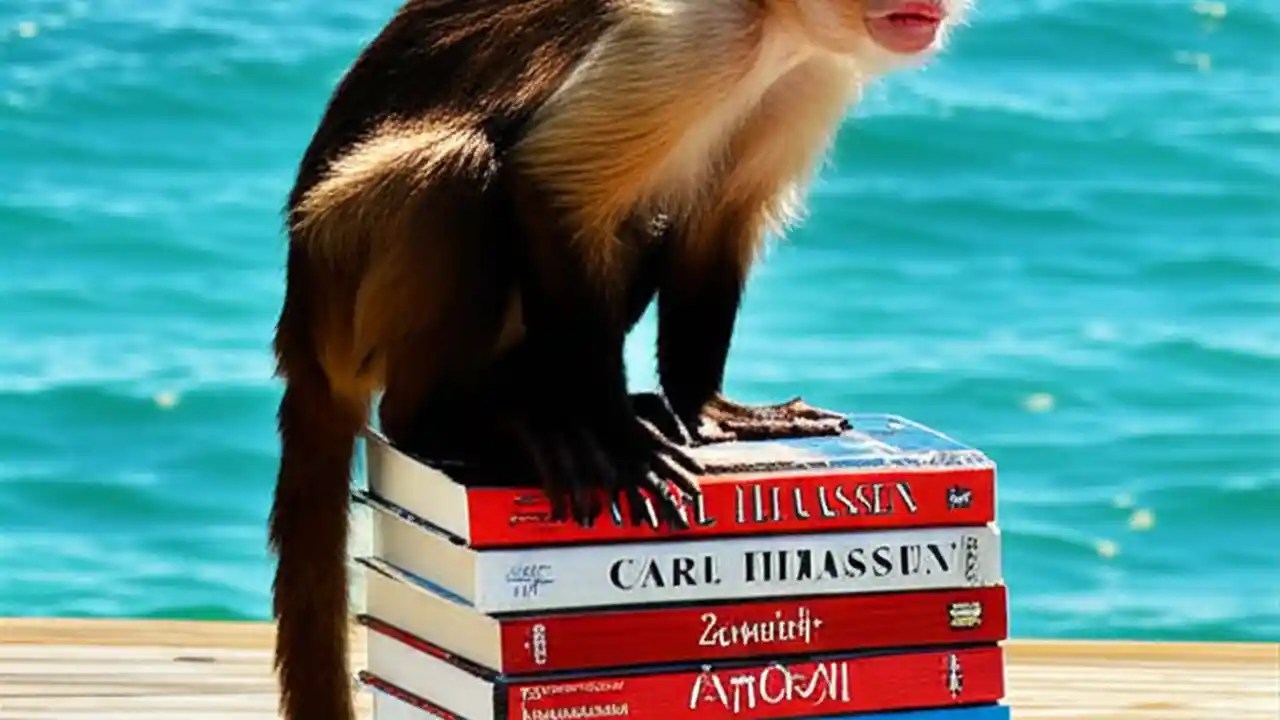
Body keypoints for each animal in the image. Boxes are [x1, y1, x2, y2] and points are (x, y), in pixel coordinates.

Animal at [267, 1, 970, 718]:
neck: (775, 27)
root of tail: (302, 334)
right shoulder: (698, 34)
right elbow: (550, 183)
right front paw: (614, 441)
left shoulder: (813, 74)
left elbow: (719, 217)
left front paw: (706, 409)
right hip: (346, 269)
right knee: (468, 167)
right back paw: (463, 424)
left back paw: (535, 402)